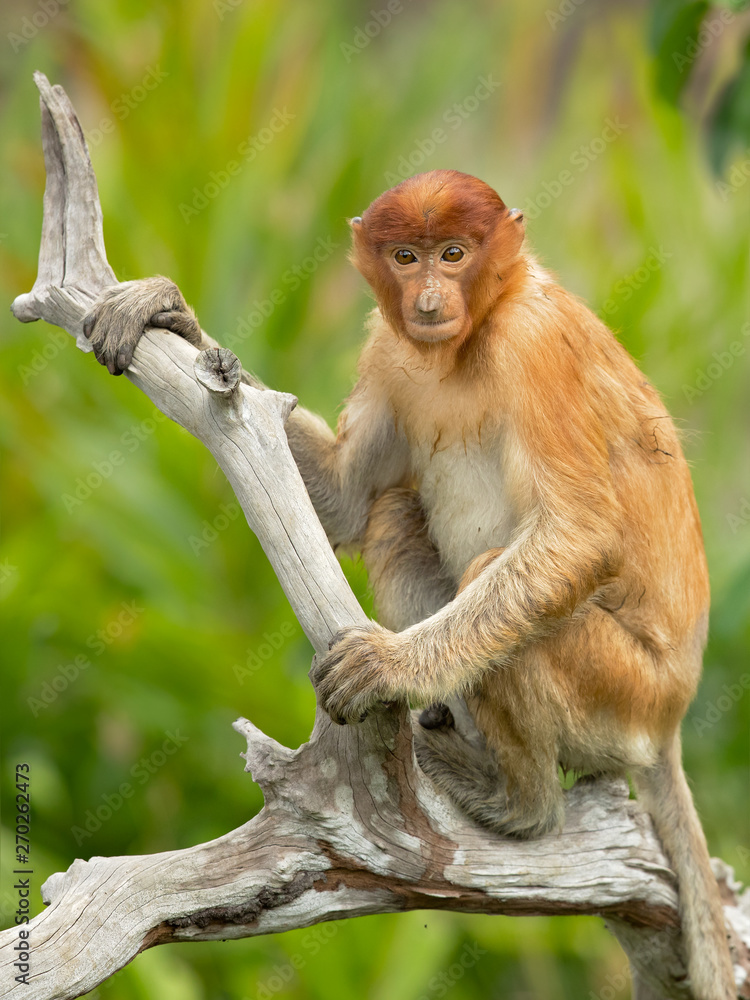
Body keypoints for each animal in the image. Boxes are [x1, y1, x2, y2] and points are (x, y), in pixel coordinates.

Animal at [82, 170, 734, 999]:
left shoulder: (534, 345)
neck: (468, 341)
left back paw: (521, 803)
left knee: (498, 581)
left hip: (621, 694)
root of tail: (673, 716)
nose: (428, 299)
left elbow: (579, 534)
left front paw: (382, 667)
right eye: (405, 256)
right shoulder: (387, 348)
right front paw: (165, 311)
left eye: (454, 254)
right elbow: (347, 499)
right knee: (393, 511)